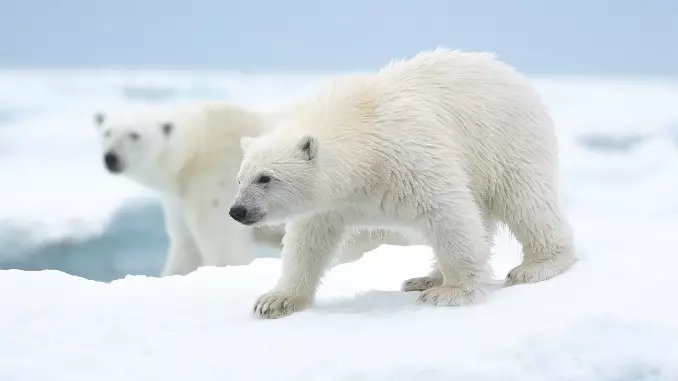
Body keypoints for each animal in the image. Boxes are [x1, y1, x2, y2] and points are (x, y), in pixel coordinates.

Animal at [95, 100, 410, 276]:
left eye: (134, 135)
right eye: (106, 132)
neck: (195, 148)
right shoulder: (180, 198)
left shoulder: (213, 182)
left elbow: (223, 247)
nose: (111, 158)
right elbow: (186, 247)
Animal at [232, 47, 580, 318]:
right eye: (239, 178)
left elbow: (448, 213)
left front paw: (452, 292)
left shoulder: (409, 155)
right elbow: (308, 240)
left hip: (507, 142)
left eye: (265, 178)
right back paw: (425, 278)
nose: (237, 211)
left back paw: (536, 266)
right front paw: (275, 301)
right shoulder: (331, 202)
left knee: (525, 200)